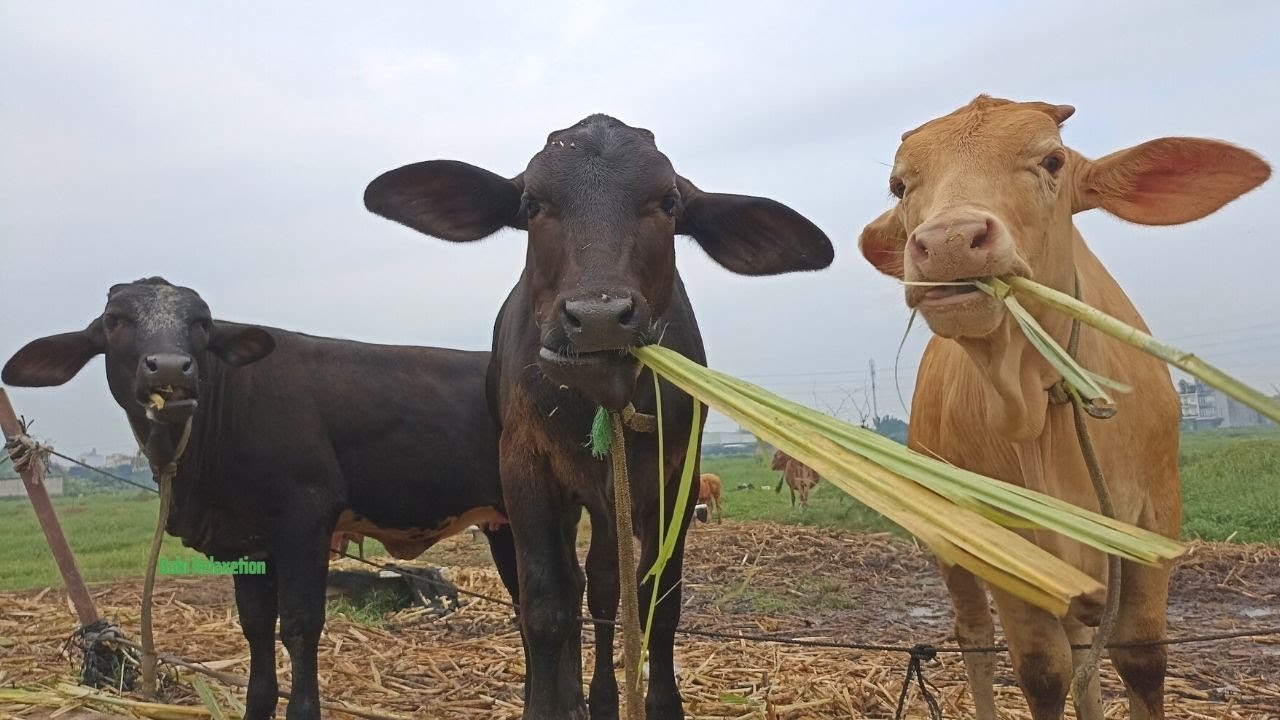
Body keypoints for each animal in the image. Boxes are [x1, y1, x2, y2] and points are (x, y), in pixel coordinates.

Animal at [1, 278, 521, 720]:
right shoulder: (247, 541)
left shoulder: (306, 518)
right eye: (114, 320)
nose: (169, 367)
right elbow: (256, 627)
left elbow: (299, 624)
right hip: (507, 526)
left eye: (202, 322)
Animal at [363, 114, 833, 720]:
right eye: (532, 203)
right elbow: (546, 606)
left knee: (605, 586)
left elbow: (657, 599)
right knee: (558, 589)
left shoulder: (675, 476)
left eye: (668, 202)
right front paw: (548, 704)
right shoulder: (524, 468)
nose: (599, 318)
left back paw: (603, 698)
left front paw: (656, 704)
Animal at [857, 96, 1270, 720]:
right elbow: (1041, 673)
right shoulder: (1006, 547)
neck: (1043, 404)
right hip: (950, 543)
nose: (950, 241)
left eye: (1051, 161)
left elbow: (1140, 661)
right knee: (976, 640)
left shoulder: (1153, 529)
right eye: (900, 184)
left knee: (1081, 654)